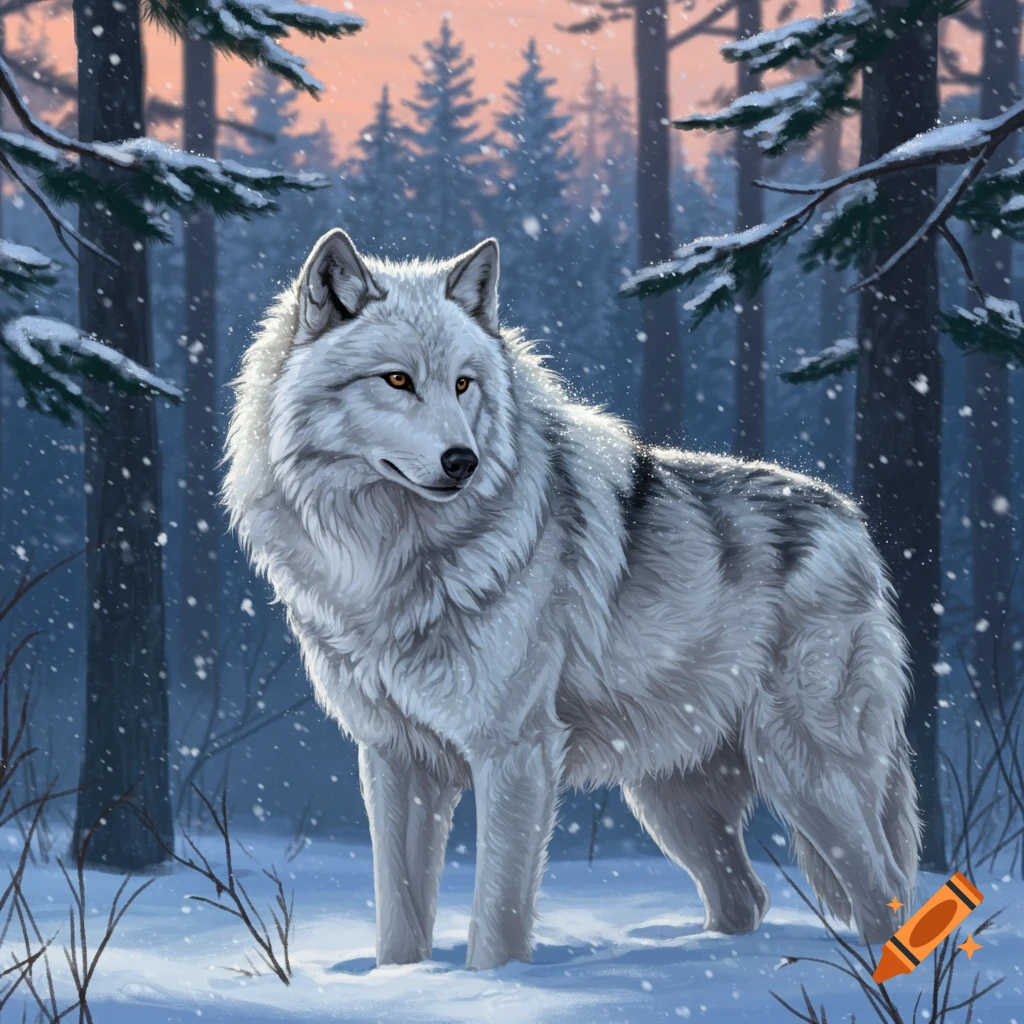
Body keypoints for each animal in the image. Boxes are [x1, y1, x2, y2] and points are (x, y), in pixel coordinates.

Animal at [223, 228, 921, 971]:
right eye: (397, 380)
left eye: (464, 384)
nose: (462, 461)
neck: (395, 561)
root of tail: (851, 519)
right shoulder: (394, 758)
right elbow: (399, 919)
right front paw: (402, 983)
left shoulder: (516, 752)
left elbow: (496, 919)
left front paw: (491, 986)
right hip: (671, 800)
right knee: (748, 899)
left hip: (803, 772)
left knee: (884, 893)